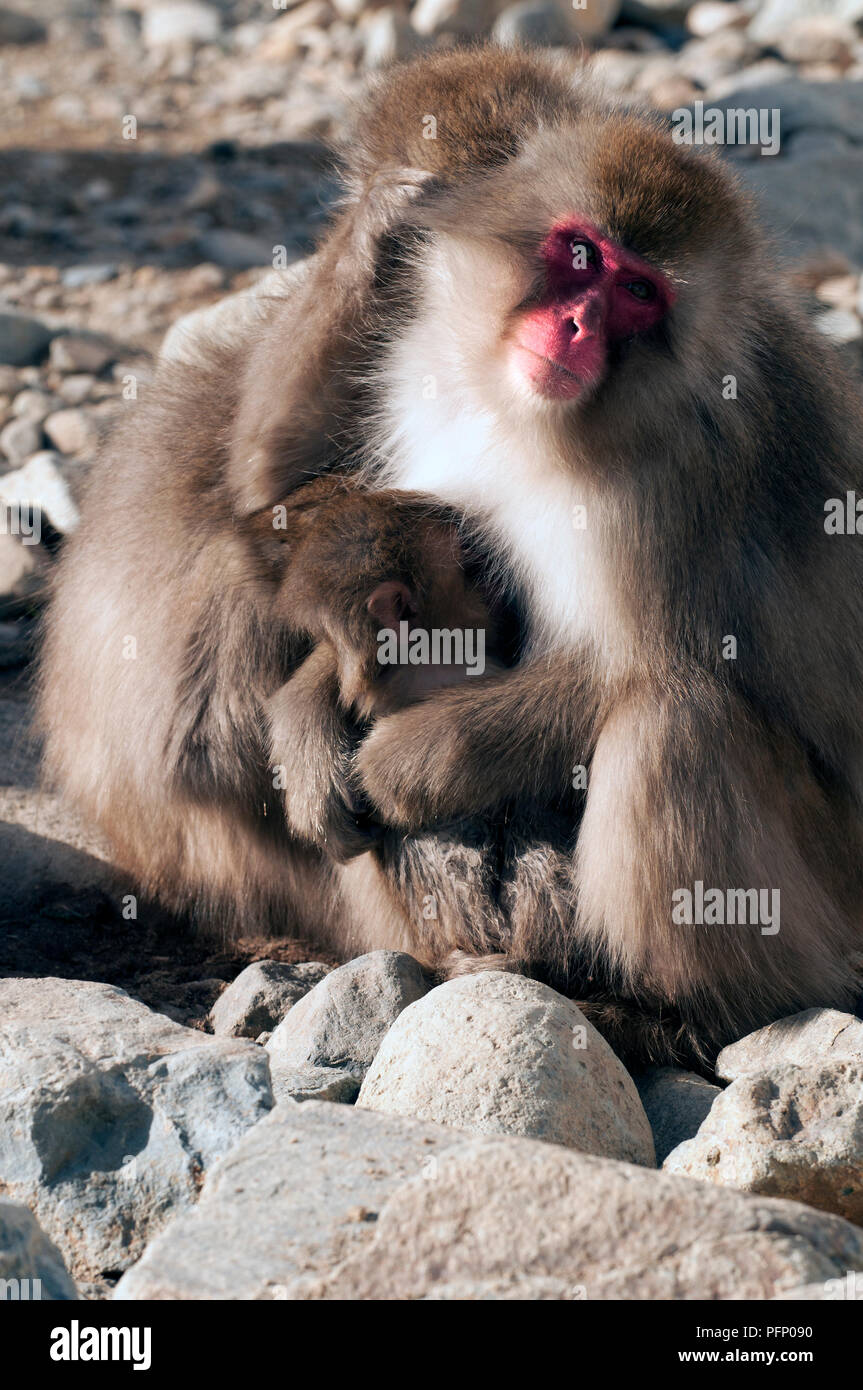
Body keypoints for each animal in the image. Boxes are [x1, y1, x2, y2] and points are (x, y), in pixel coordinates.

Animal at [38, 45, 863, 1068]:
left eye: (639, 294)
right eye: (580, 256)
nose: (576, 327)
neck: (532, 414)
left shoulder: (687, 475)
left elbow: (645, 665)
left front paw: (403, 762)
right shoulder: (408, 363)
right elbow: (287, 510)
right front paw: (310, 720)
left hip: (827, 898)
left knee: (672, 725)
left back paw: (689, 1015)